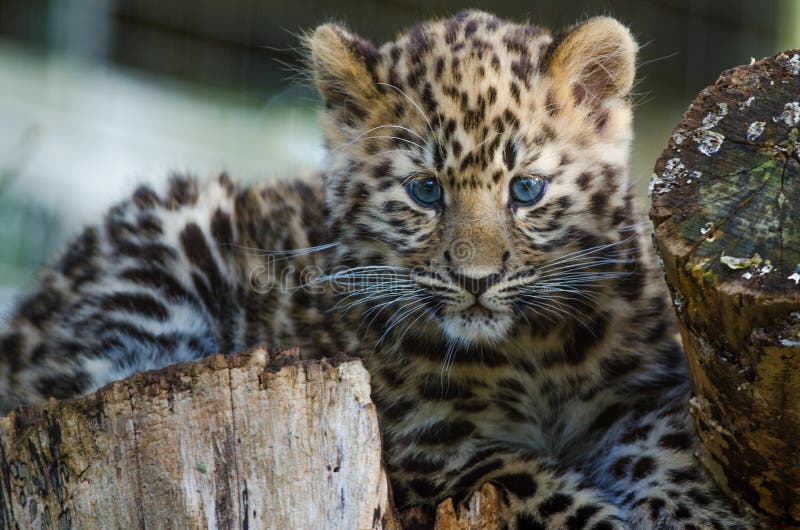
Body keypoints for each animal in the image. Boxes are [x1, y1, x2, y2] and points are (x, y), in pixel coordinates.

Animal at [0, 10, 749, 530]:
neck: (528, 351)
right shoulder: (429, 447)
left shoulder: (645, 392)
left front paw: (702, 514)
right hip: (166, 239)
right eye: (424, 192)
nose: (476, 280)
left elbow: (669, 449)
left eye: (527, 190)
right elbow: (528, 483)